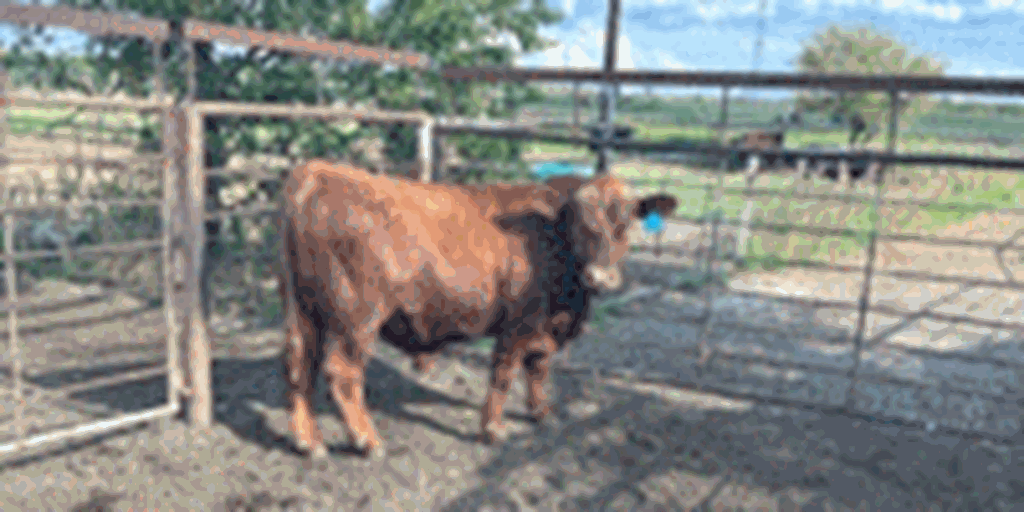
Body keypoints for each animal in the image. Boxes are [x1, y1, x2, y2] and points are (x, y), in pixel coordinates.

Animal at [277, 160, 677, 459]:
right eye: (582, 223)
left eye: (626, 224)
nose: (601, 277)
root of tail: (319, 171)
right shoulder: (518, 325)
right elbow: (503, 376)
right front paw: (493, 429)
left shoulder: (544, 329)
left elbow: (539, 369)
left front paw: (541, 413)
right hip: (356, 318)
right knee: (341, 374)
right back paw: (367, 441)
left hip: (304, 311)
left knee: (300, 366)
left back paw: (308, 441)